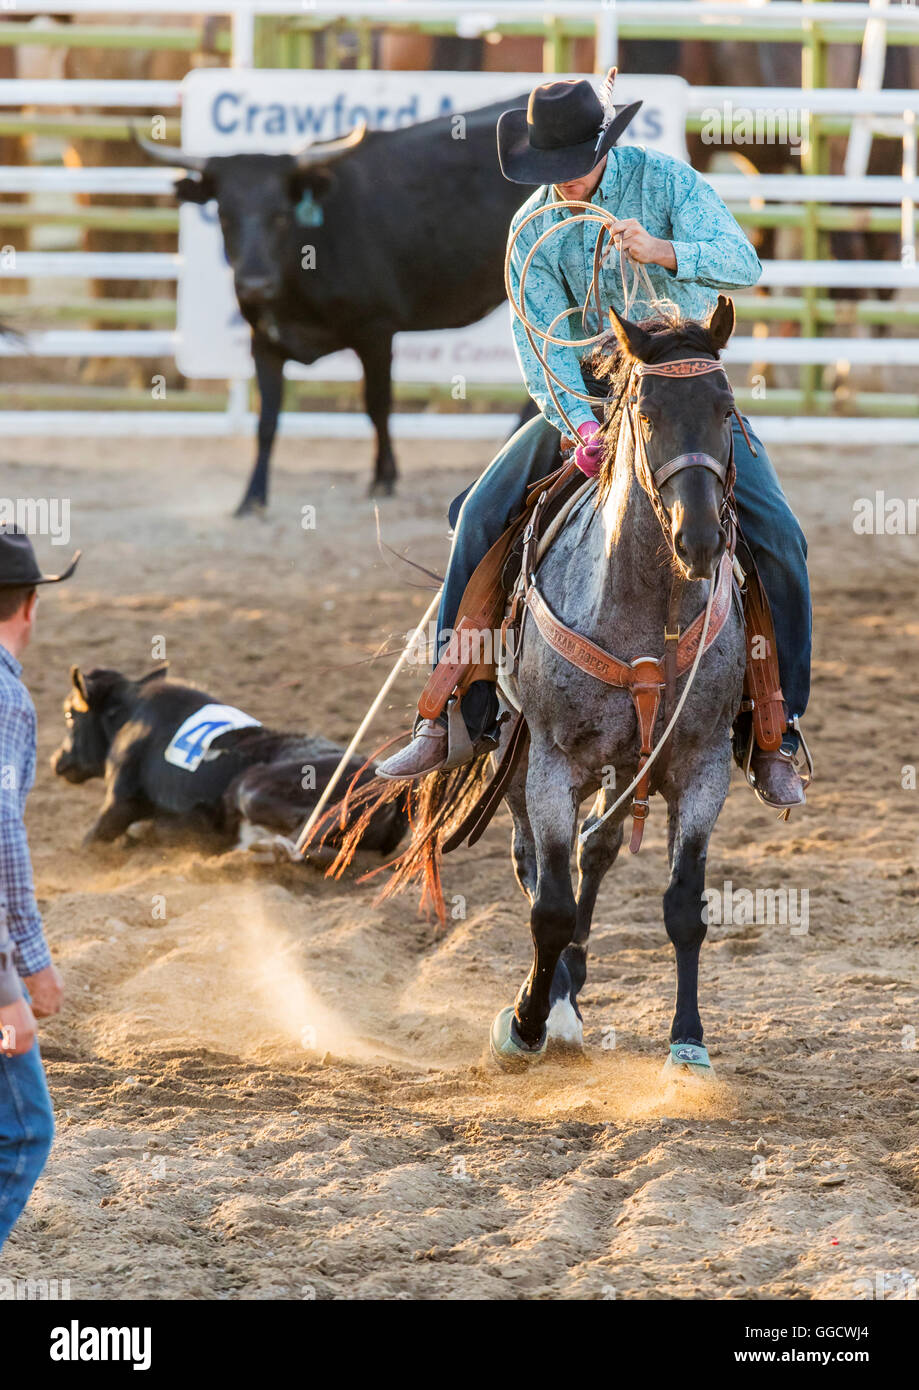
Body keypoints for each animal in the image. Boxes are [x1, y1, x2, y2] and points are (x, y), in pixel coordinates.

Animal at [51, 664, 407, 859]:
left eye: (69, 714)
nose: (57, 760)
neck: (127, 714)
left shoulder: (120, 799)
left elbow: (94, 837)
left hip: (253, 787)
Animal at [133, 96, 529, 513]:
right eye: (224, 215)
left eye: (280, 214)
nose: (255, 284)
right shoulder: (264, 341)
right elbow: (267, 421)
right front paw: (252, 498)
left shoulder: (376, 331)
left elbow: (377, 405)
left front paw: (383, 478)